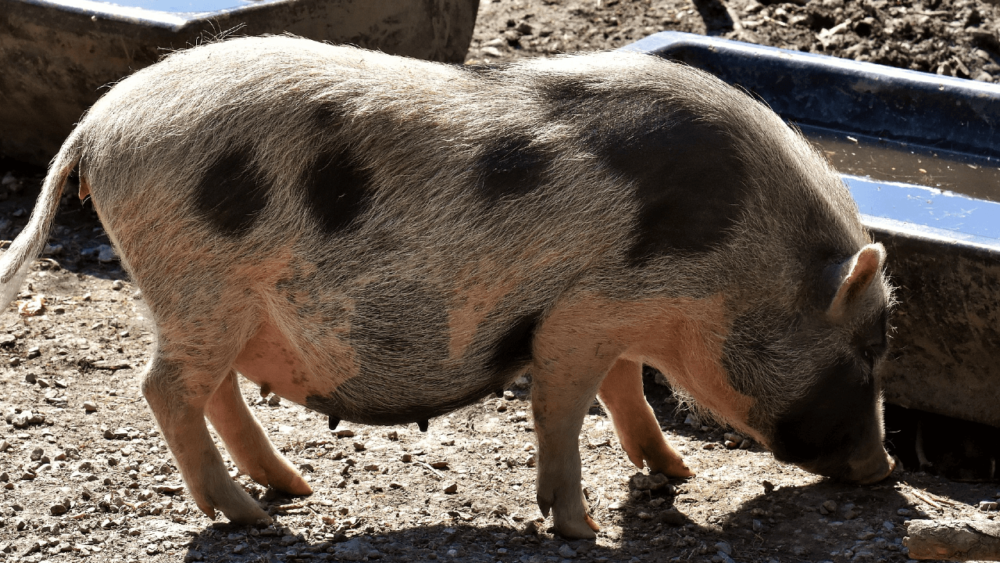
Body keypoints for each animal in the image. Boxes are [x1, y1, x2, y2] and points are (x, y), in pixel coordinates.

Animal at [0, 36, 894, 539]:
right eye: (870, 349)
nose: (885, 467)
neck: (737, 256)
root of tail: (98, 124)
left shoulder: (610, 315)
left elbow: (625, 389)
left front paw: (676, 474)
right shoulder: (580, 312)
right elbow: (567, 403)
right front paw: (582, 531)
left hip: (221, 303)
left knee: (214, 389)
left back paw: (294, 489)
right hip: (197, 282)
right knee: (165, 387)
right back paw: (253, 518)